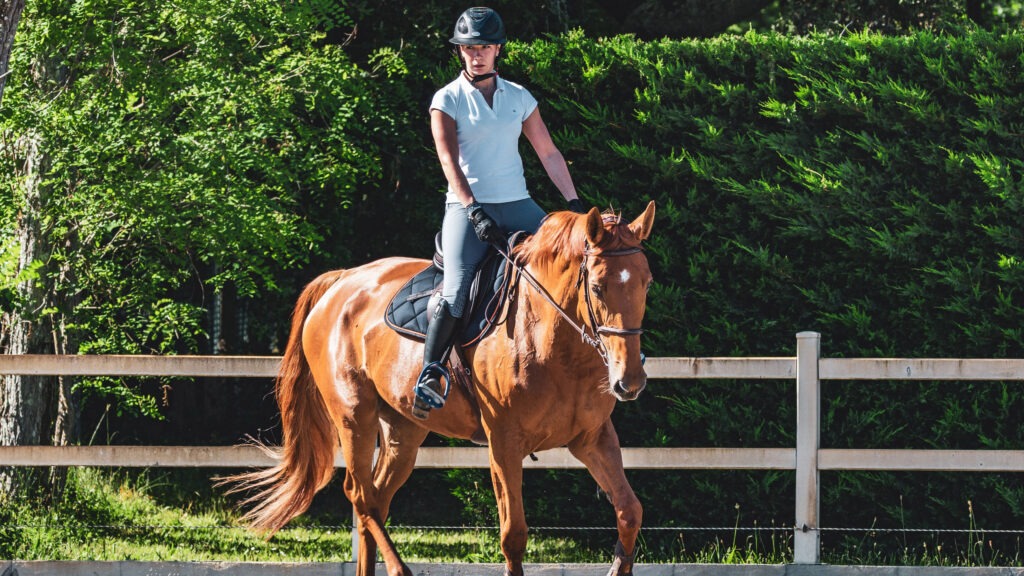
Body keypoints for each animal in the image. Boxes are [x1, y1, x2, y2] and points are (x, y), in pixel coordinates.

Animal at [224, 201, 656, 576]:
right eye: (597, 287)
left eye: (647, 283)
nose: (630, 381)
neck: (554, 341)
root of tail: (340, 281)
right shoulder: (504, 442)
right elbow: (513, 535)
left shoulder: (592, 438)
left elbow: (630, 511)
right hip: (353, 415)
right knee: (360, 495)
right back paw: (400, 569)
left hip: (403, 430)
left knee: (376, 499)